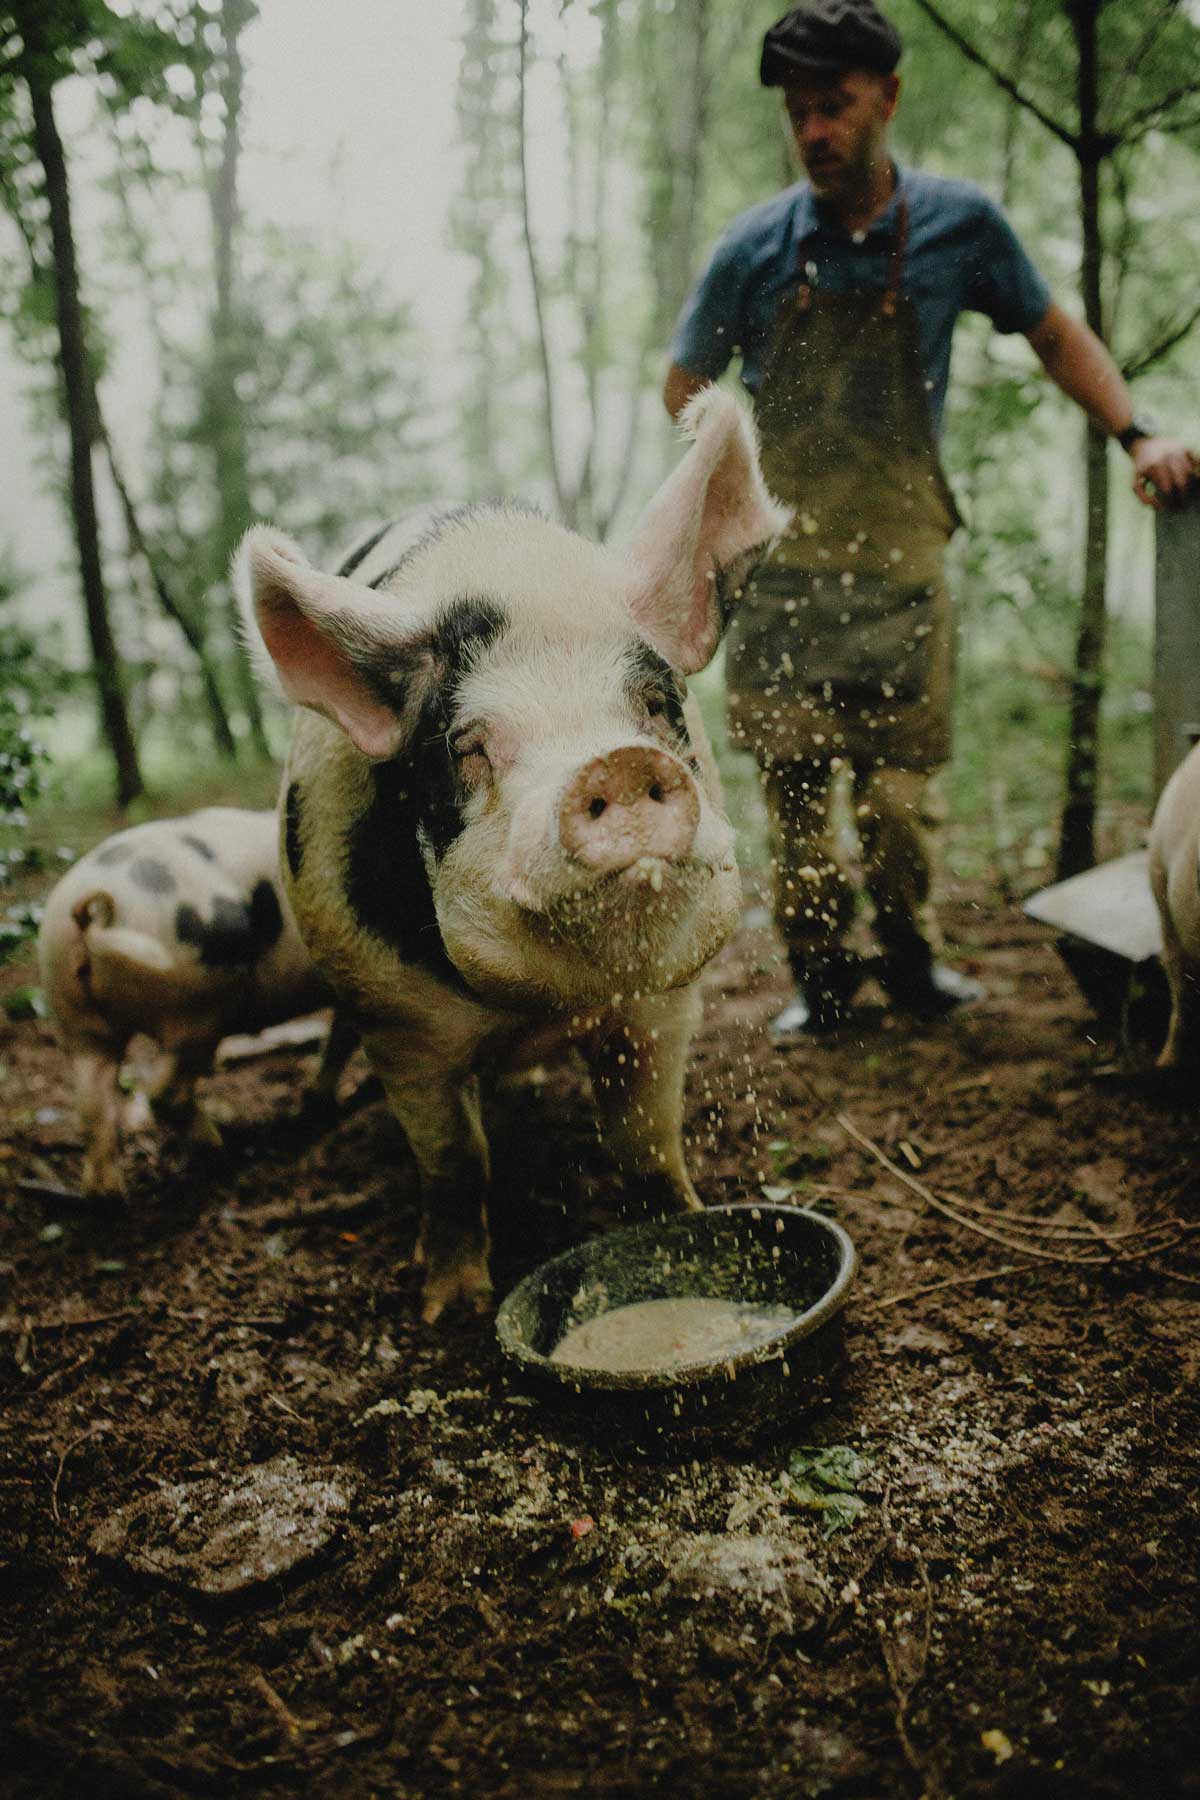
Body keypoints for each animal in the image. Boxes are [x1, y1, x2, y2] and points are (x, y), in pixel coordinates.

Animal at [37, 806, 355, 1196]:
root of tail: (89, 911)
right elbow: (345, 1036)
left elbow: (341, 1036)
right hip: (198, 1003)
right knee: (165, 1092)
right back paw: (221, 1156)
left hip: (73, 1011)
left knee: (92, 1104)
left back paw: (107, 1197)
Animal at [237, 388, 789, 1322]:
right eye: (469, 747)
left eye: (656, 703)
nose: (616, 764)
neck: (547, 1004)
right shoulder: (398, 1024)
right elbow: (455, 1161)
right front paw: (452, 1308)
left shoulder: (665, 1001)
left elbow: (646, 1137)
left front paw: (686, 1225)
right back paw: (311, 1109)